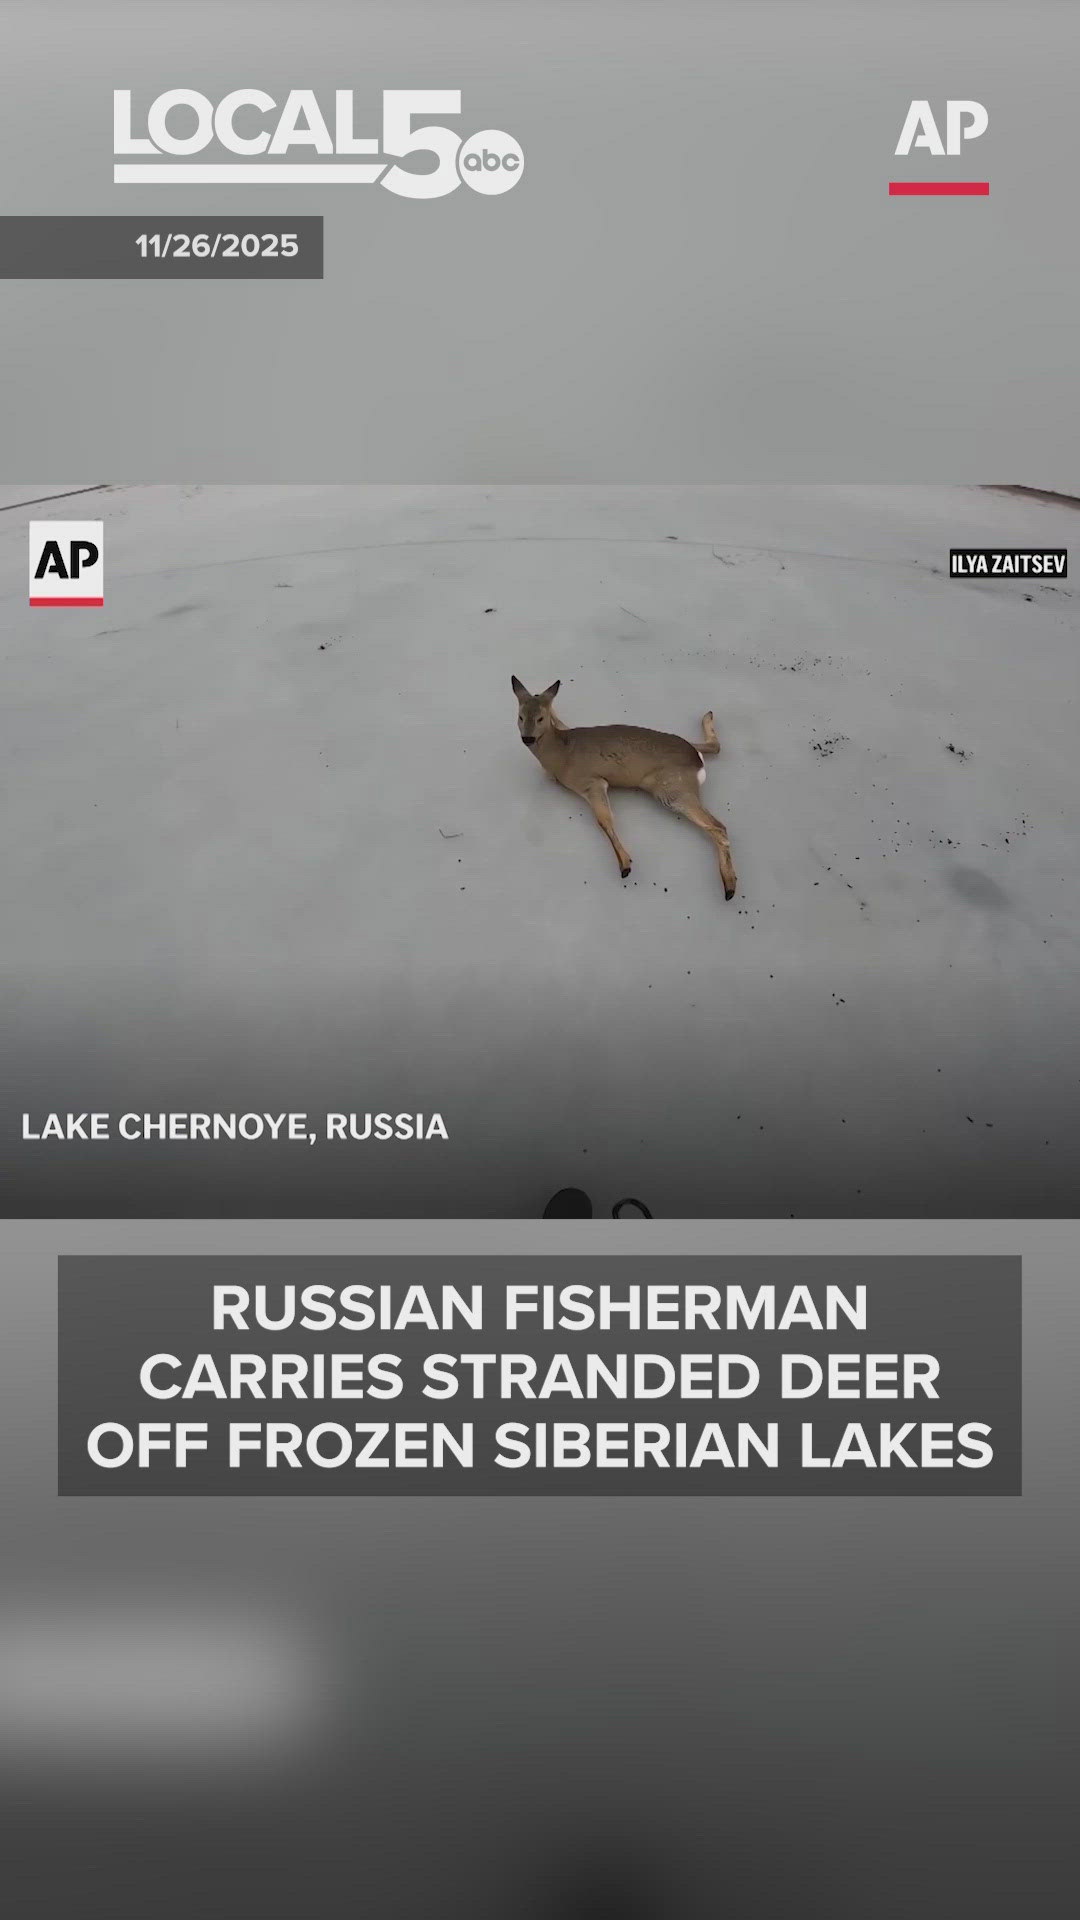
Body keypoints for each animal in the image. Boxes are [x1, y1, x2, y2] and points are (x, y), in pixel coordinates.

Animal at [510, 677, 737, 899]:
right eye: (520, 716)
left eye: (540, 718)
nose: (528, 738)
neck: (560, 753)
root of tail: (697, 761)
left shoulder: (591, 782)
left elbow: (604, 820)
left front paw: (625, 864)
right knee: (713, 748)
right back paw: (707, 717)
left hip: (672, 789)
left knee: (718, 826)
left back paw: (729, 886)